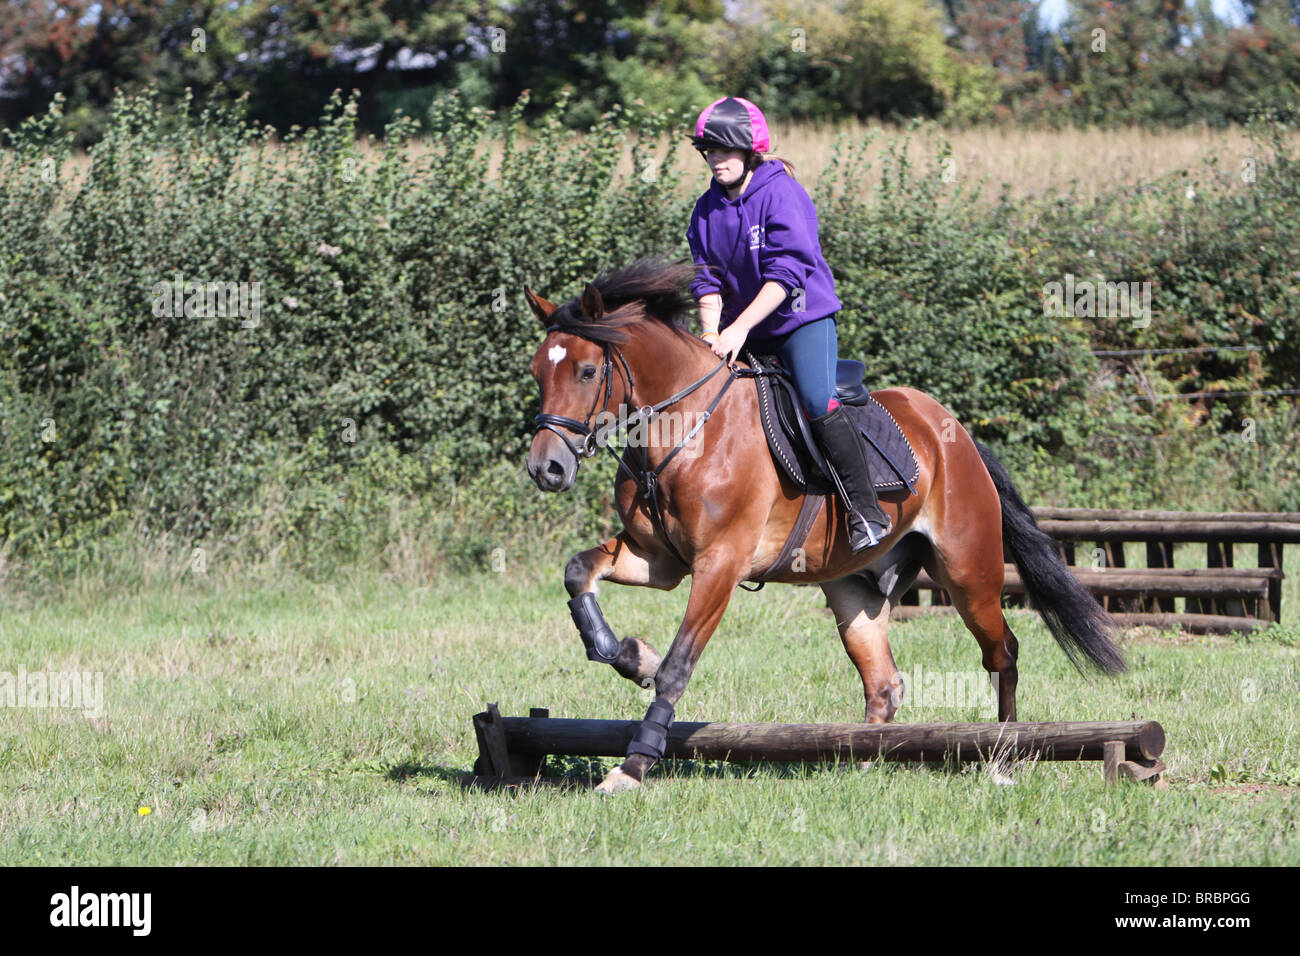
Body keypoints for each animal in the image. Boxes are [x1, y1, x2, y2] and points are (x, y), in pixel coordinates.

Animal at [525, 257, 1125, 794]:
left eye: (586, 371)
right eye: (537, 373)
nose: (545, 468)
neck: (684, 431)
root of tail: (954, 432)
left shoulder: (719, 564)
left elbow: (679, 664)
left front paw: (631, 767)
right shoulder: (658, 560)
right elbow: (578, 572)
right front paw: (631, 655)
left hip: (967, 572)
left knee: (1002, 653)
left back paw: (1003, 759)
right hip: (853, 588)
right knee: (884, 683)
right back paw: (861, 761)